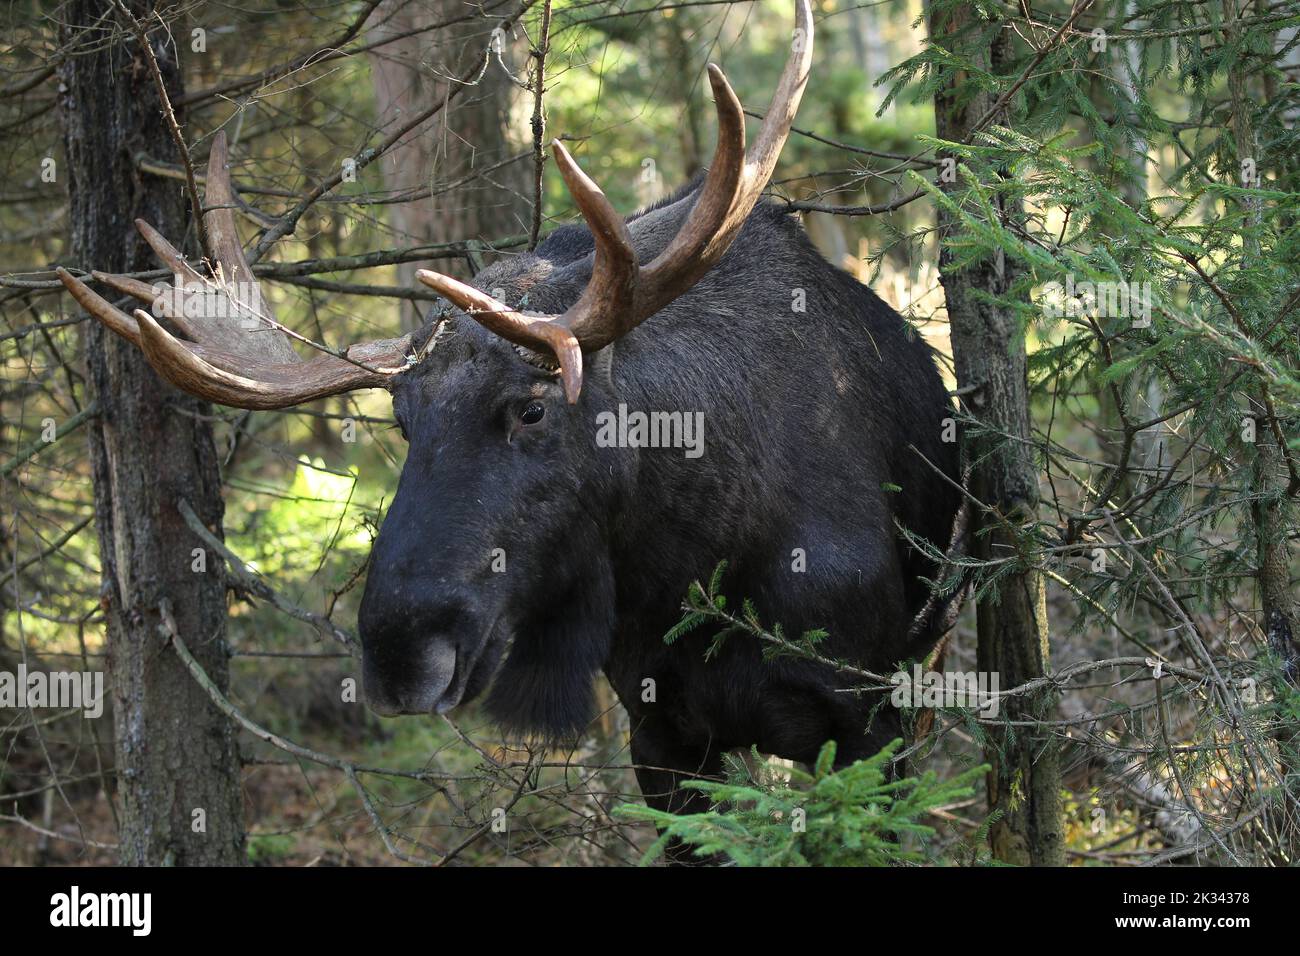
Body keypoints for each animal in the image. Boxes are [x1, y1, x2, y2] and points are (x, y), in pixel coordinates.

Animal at [58, 0, 961, 837]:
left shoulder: (871, 717)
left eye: (532, 408)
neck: (701, 558)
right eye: (402, 422)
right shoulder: (661, 734)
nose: (400, 655)